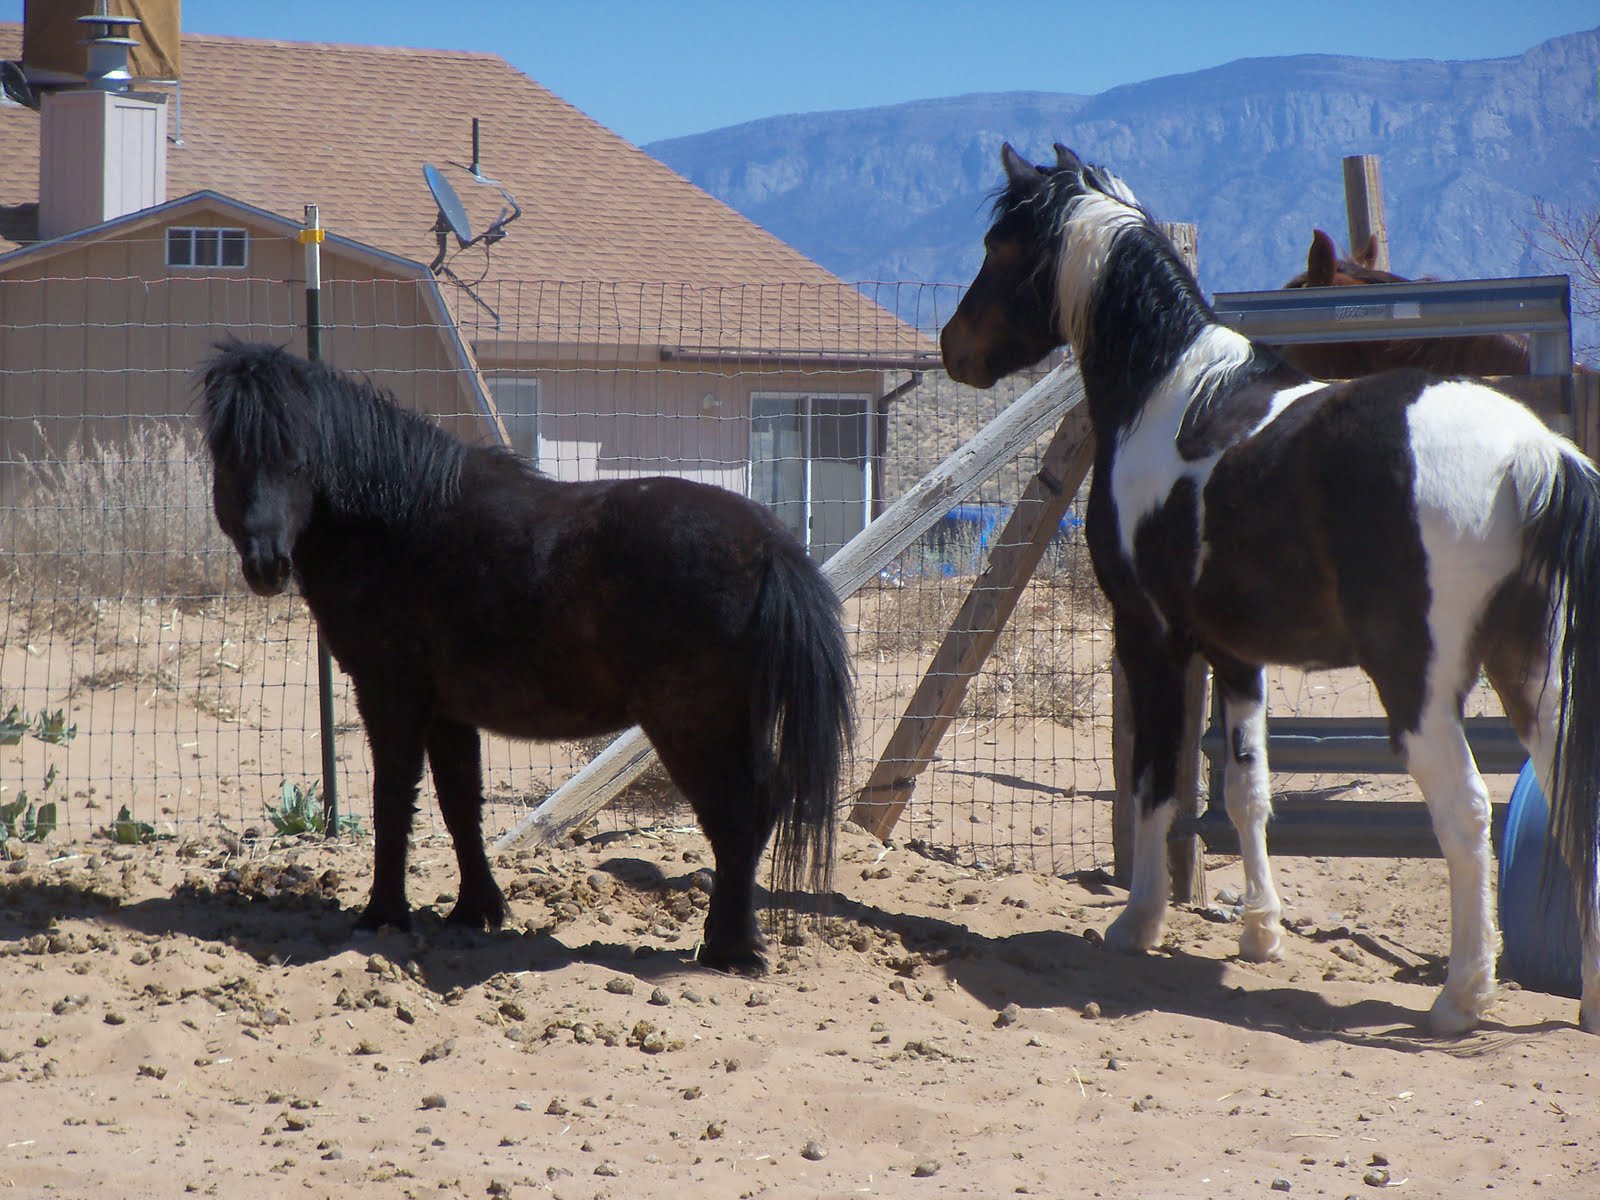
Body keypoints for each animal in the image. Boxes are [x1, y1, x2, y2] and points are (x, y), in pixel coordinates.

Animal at [198, 340, 853, 976]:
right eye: (228, 457)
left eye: (297, 458)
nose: (267, 564)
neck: (397, 525)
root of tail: (768, 544)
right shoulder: (447, 711)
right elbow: (459, 803)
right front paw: (475, 910)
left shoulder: (390, 694)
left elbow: (393, 800)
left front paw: (383, 915)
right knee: (759, 812)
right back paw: (729, 942)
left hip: (689, 725)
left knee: (736, 817)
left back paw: (728, 951)